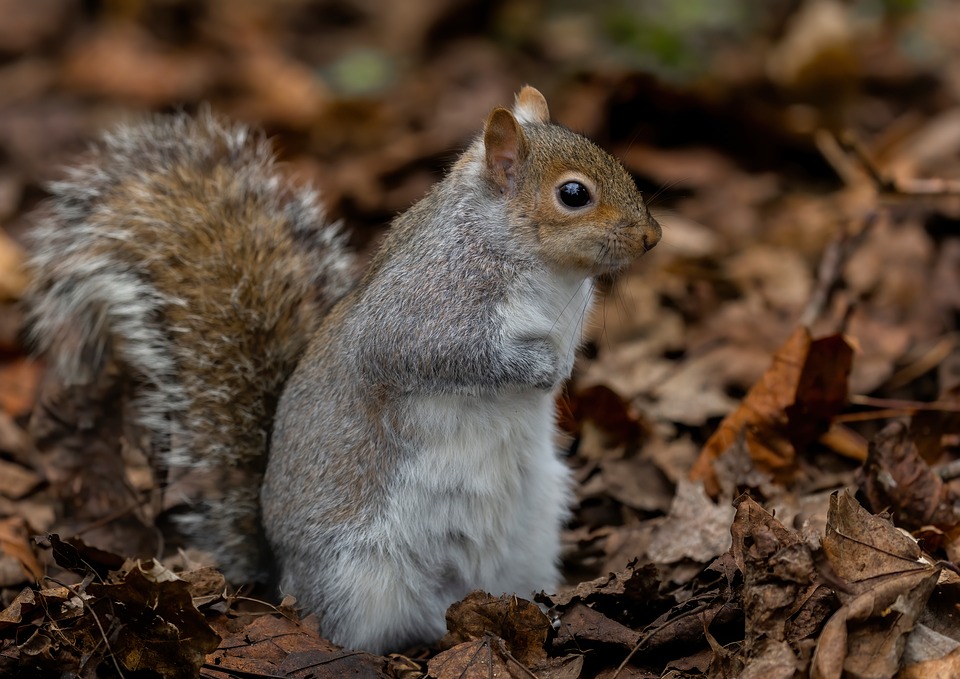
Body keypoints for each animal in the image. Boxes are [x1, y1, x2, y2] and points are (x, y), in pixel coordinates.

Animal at [24, 86, 661, 653]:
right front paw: (537, 368)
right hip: (357, 575)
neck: (546, 271)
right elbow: (446, 356)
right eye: (573, 194)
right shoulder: (424, 309)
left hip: (531, 535)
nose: (652, 236)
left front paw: (560, 370)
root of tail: (281, 581)